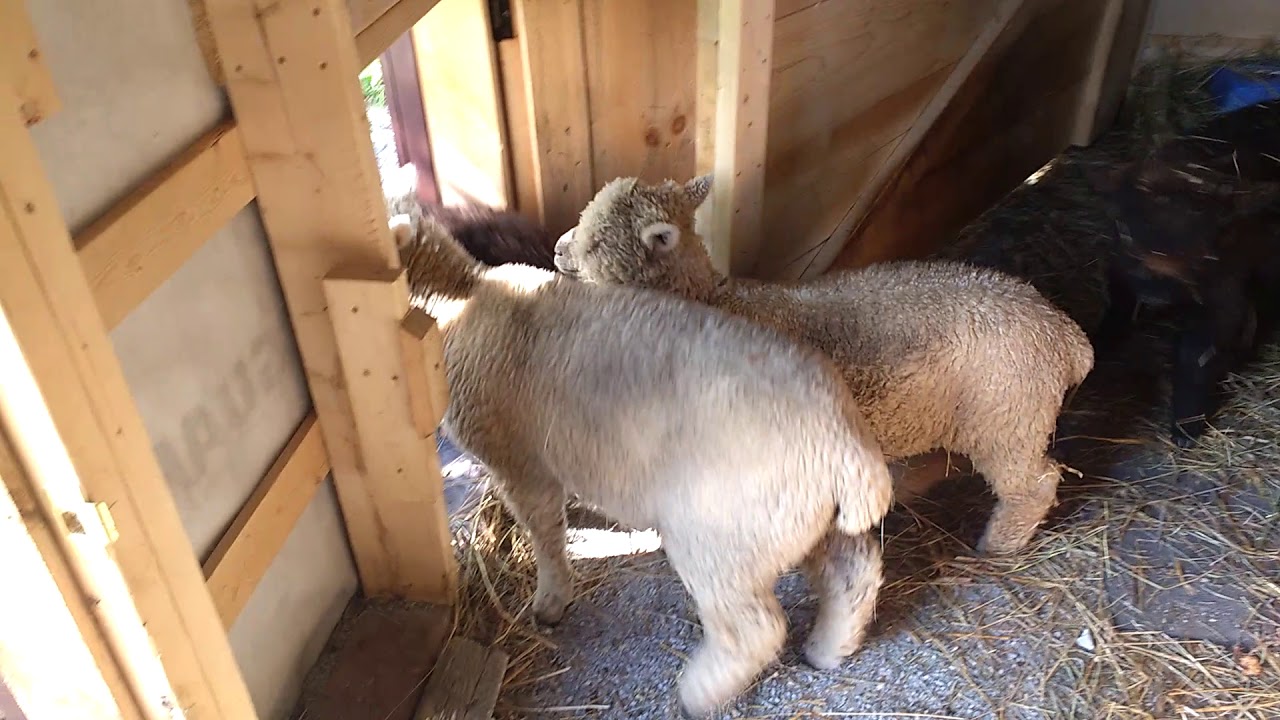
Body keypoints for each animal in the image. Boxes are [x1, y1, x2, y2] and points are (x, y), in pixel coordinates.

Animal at [384, 201, 896, 717]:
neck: (457, 301)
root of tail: (849, 450)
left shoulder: (520, 464)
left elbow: (545, 534)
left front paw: (551, 601)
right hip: (800, 519)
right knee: (854, 570)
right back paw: (830, 648)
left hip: (723, 534)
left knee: (755, 628)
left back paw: (699, 693)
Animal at [553, 175, 1096, 557]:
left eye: (597, 242)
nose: (558, 248)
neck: (716, 305)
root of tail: (1067, 335)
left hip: (1008, 419)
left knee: (1034, 485)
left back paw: (999, 543)